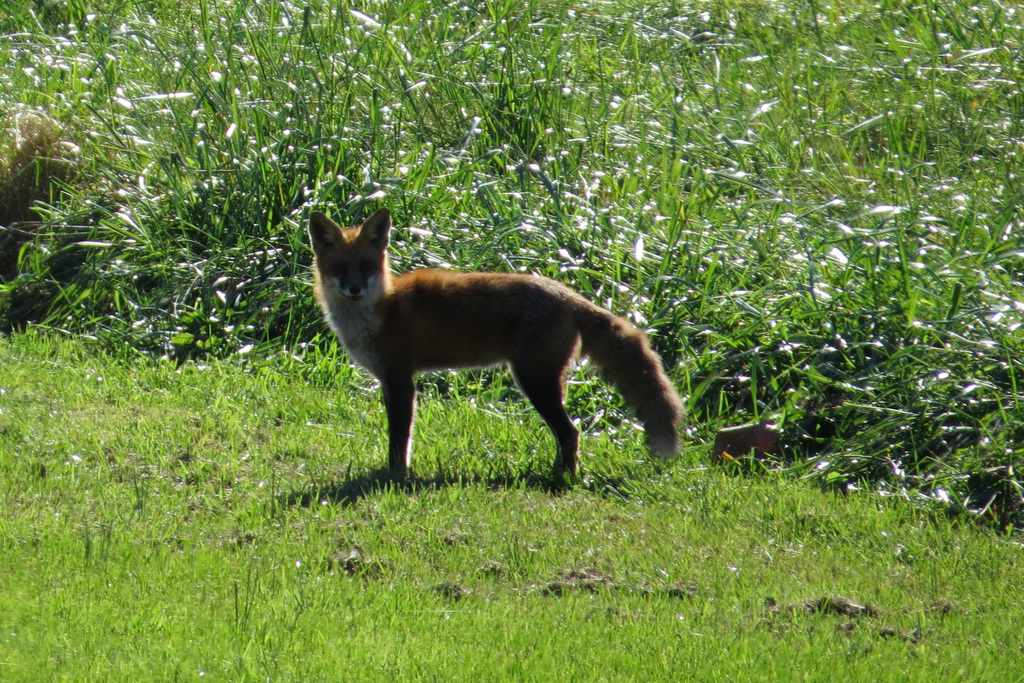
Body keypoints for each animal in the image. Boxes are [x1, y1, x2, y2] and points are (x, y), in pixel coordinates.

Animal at [308, 207, 684, 482]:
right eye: (340, 268)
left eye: (367, 266)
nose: (354, 289)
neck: (381, 308)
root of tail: (568, 295)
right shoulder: (388, 381)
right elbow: (395, 435)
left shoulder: (401, 380)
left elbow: (399, 439)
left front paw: (396, 475)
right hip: (542, 380)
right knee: (568, 433)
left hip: (534, 381)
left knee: (571, 432)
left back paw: (561, 479)